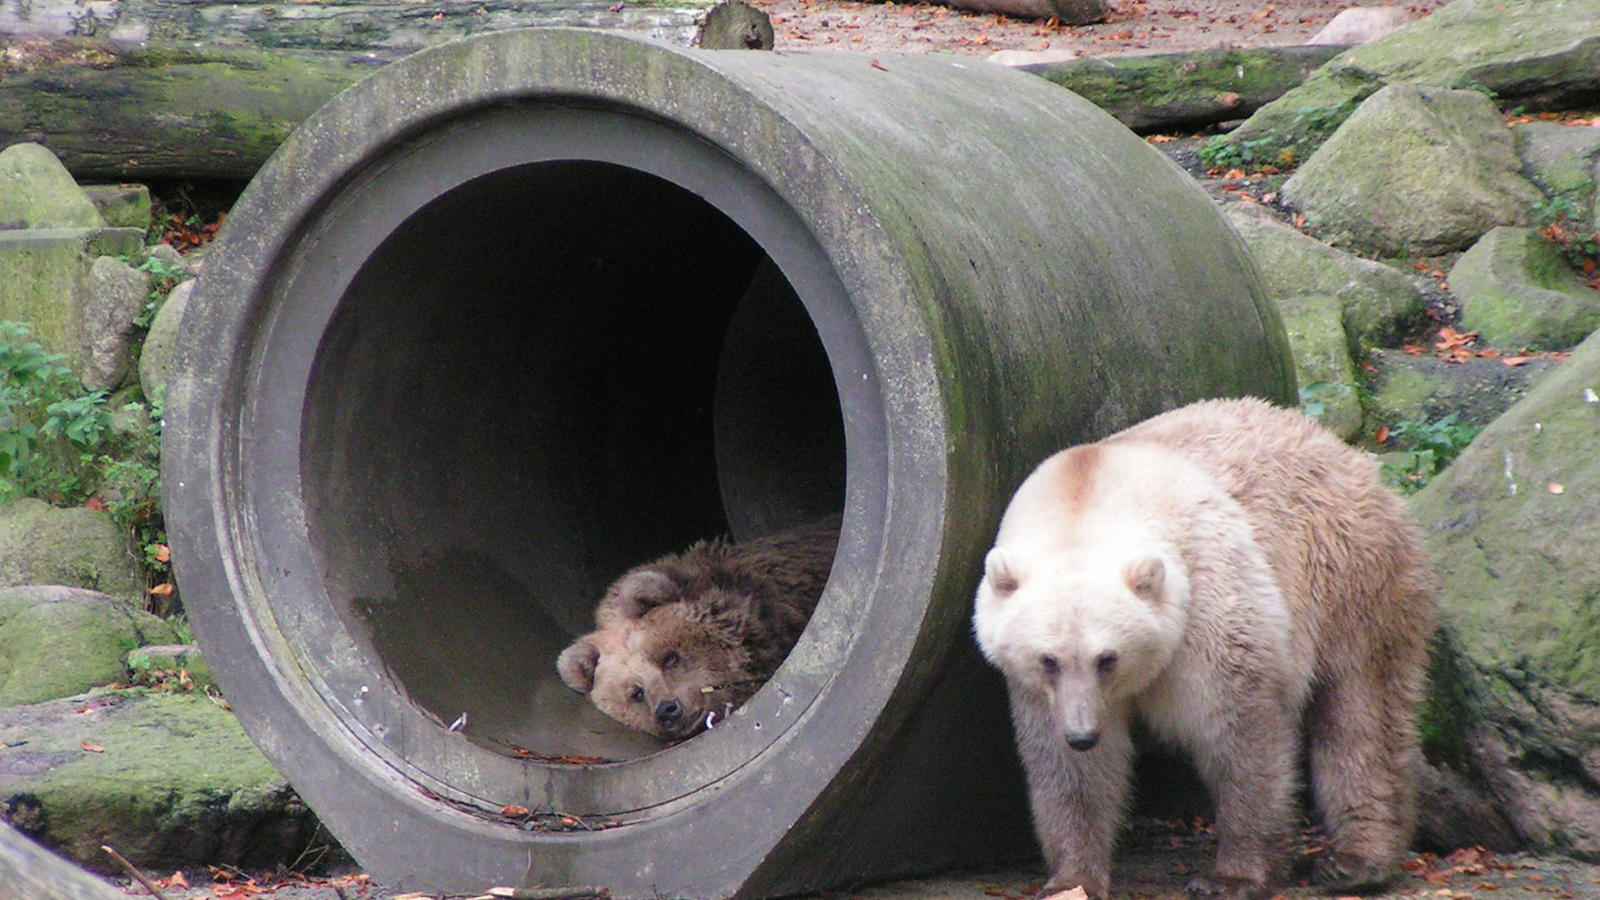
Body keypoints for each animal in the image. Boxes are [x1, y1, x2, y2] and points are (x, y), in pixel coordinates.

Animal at [972, 397, 1438, 900]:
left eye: (1107, 658)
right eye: (1048, 660)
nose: (1082, 733)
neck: (1088, 494)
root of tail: (1345, 451)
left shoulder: (1206, 600)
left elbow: (1238, 731)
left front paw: (1233, 877)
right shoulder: (1036, 690)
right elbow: (1071, 771)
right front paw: (1073, 879)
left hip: (1348, 570)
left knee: (1361, 708)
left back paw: (1356, 860)